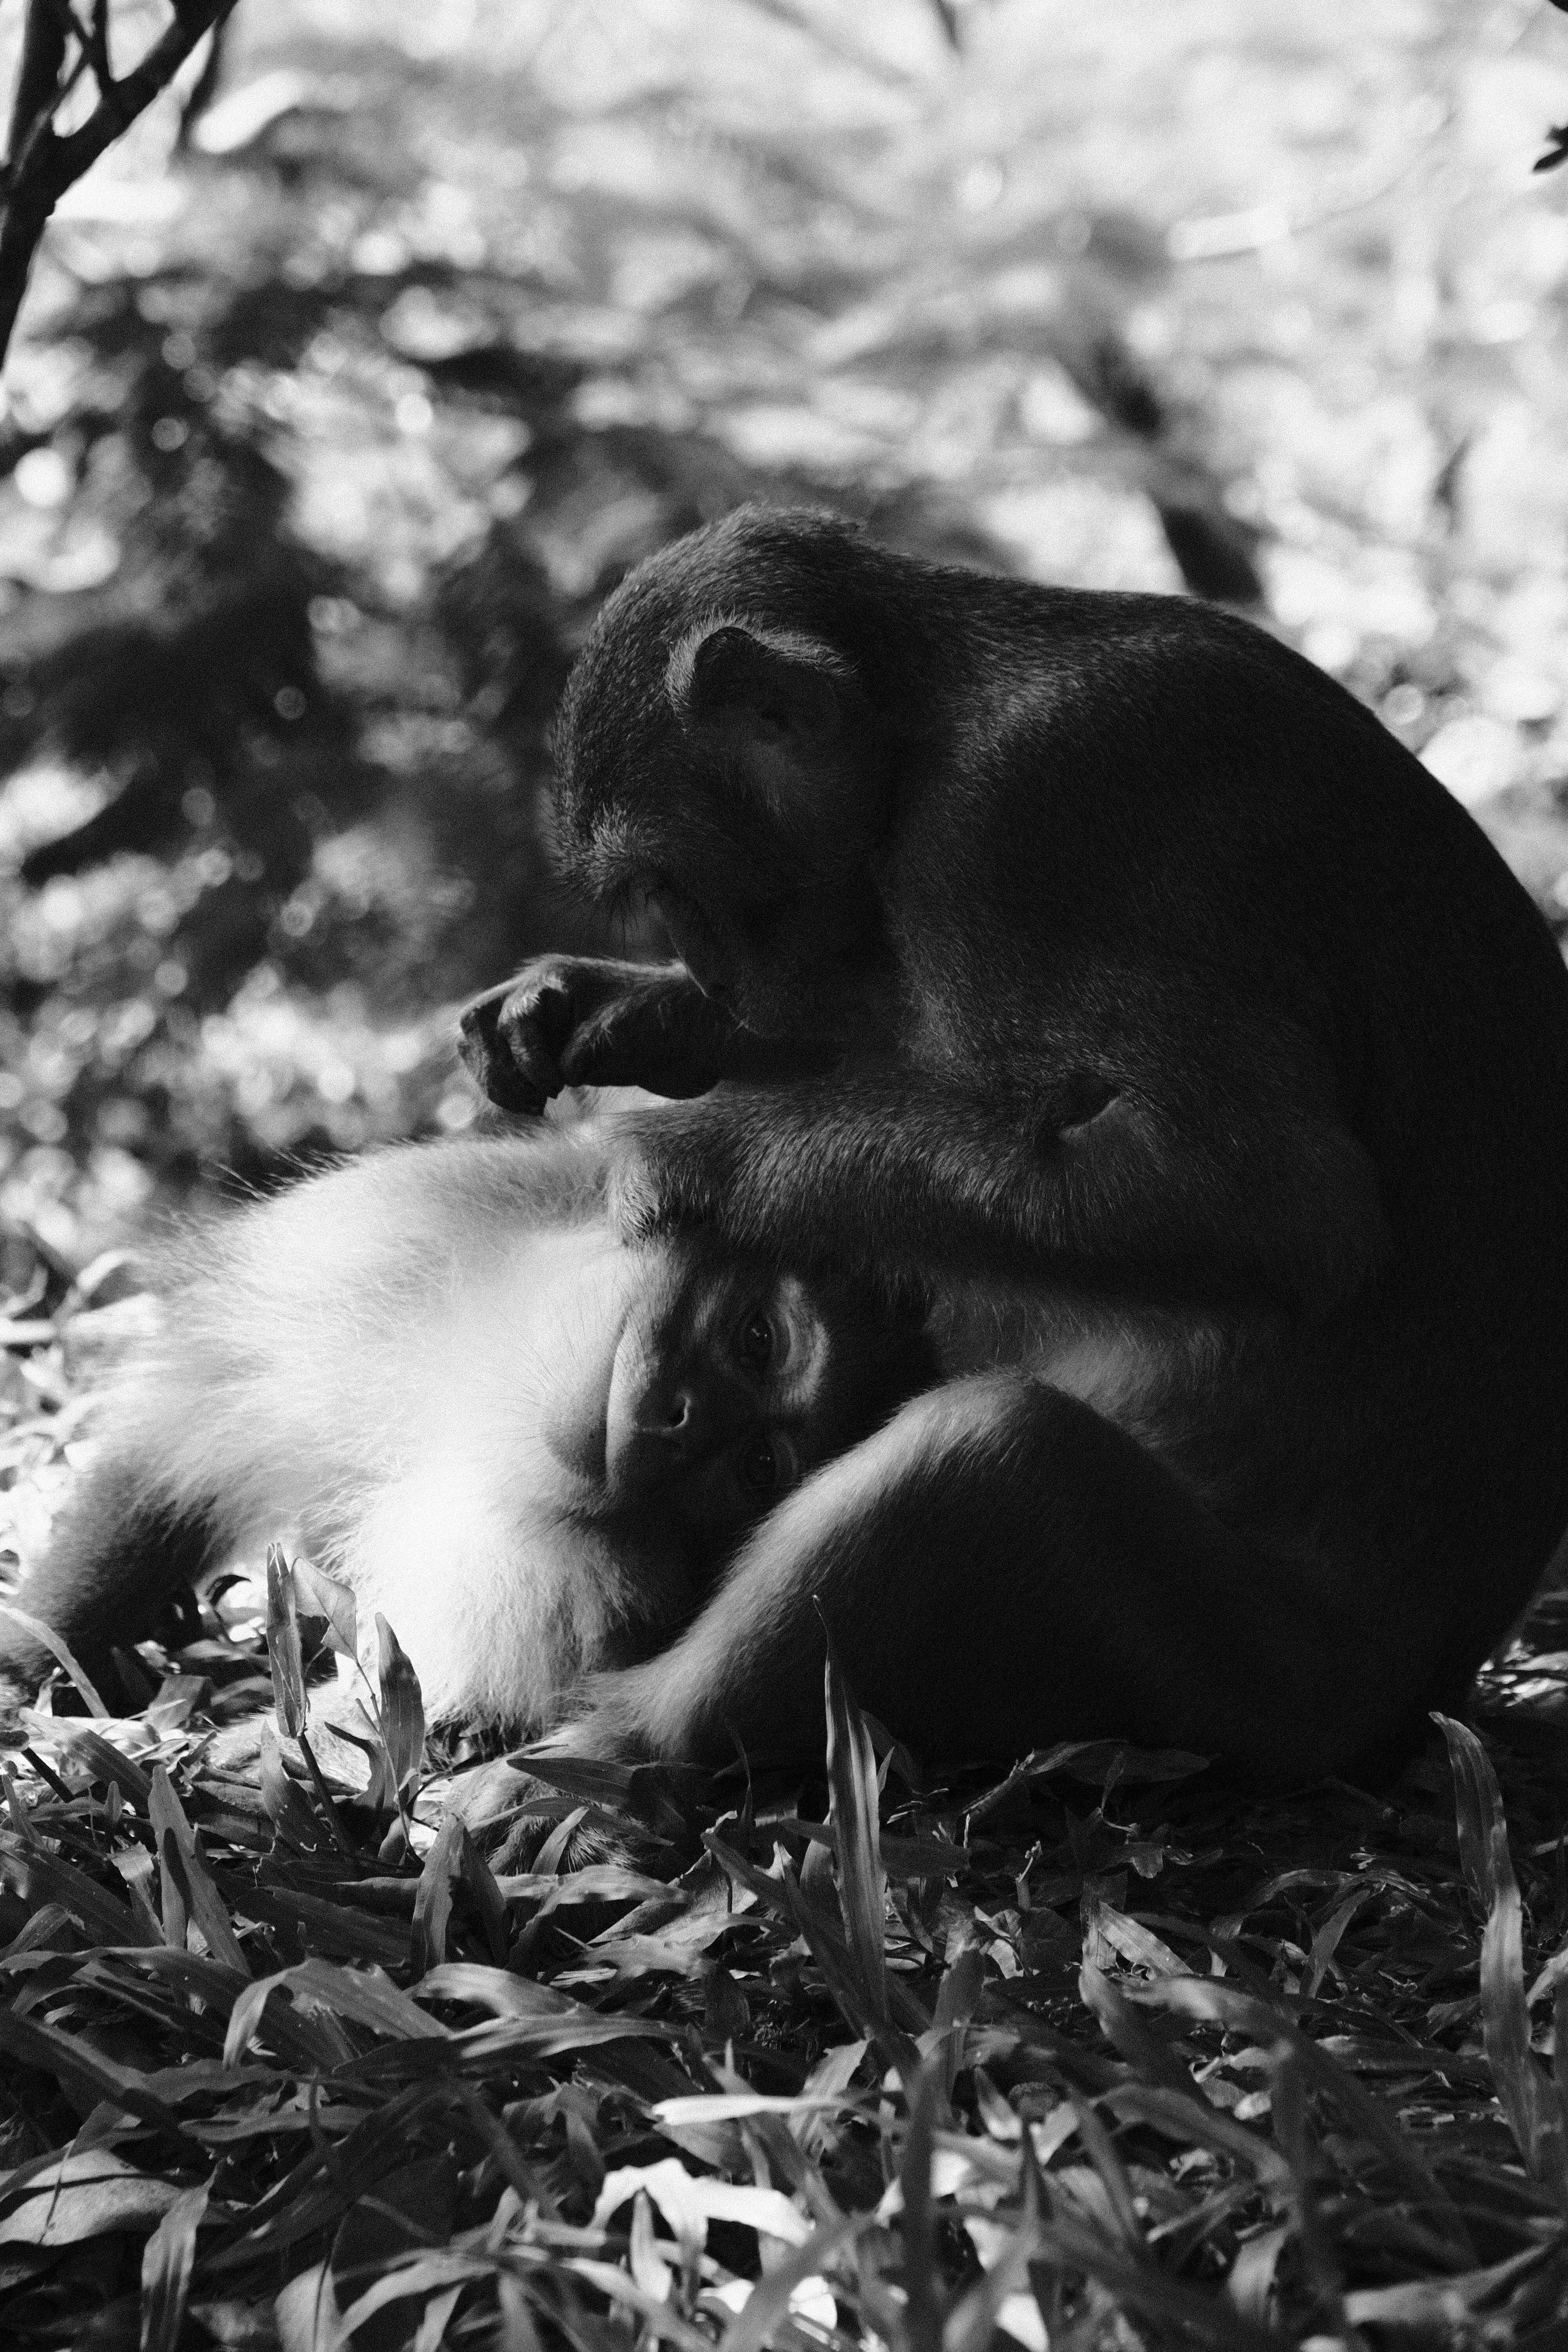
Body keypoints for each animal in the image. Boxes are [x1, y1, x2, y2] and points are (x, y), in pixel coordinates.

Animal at [0, 1125, 923, 1729]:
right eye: (756, 1338)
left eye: (756, 1466)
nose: (680, 1424)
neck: (491, 1418)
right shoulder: (416, 1234)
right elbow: (171, 1456)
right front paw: (40, 1655)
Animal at [459, 503, 1568, 1786]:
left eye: (673, 881)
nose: (715, 972)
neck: (931, 718)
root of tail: (1413, 1705)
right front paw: (598, 1010)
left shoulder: (1025, 824)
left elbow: (1267, 1199)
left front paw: (695, 1158)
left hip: (1230, 1687)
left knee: (996, 1455)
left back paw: (620, 1740)